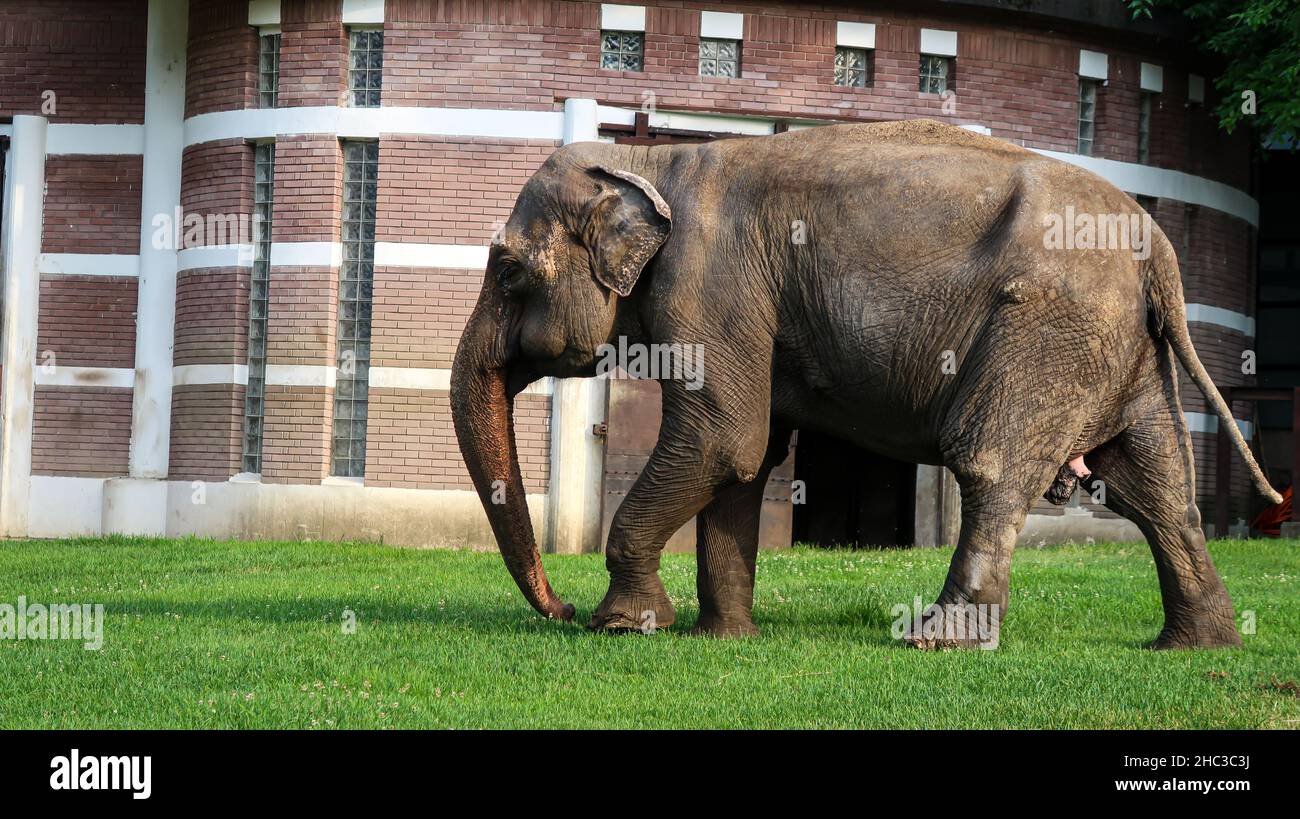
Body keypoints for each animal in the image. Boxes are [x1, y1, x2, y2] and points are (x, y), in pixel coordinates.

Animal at [450, 118, 1281, 649]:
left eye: (508, 269)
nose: (558, 608)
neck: (653, 164)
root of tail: (1159, 252)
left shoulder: (708, 285)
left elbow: (724, 439)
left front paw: (623, 627)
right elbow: (749, 459)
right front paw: (723, 637)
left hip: (1047, 331)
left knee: (994, 463)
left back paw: (936, 642)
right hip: (1122, 353)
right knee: (1155, 488)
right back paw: (1195, 647)